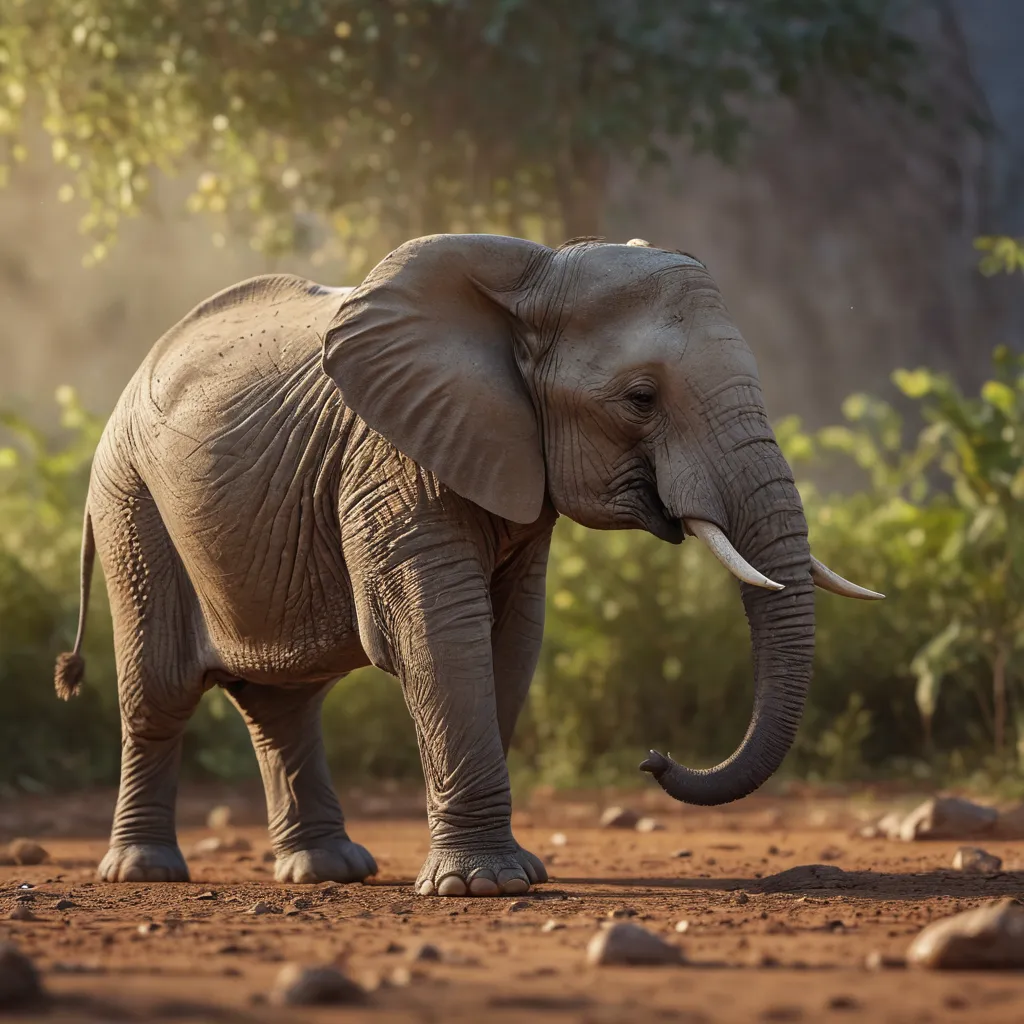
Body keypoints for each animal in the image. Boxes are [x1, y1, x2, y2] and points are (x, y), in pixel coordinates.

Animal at [54, 233, 882, 897]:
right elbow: (436, 630)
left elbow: (509, 637)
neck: (531, 278)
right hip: (130, 502)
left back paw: (329, 870)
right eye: (641, 398)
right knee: (161, 689)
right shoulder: (393, 459)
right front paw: (484, 886)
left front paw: (507, 873)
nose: (654, 757)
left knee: (283, 701)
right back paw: (144, 872)